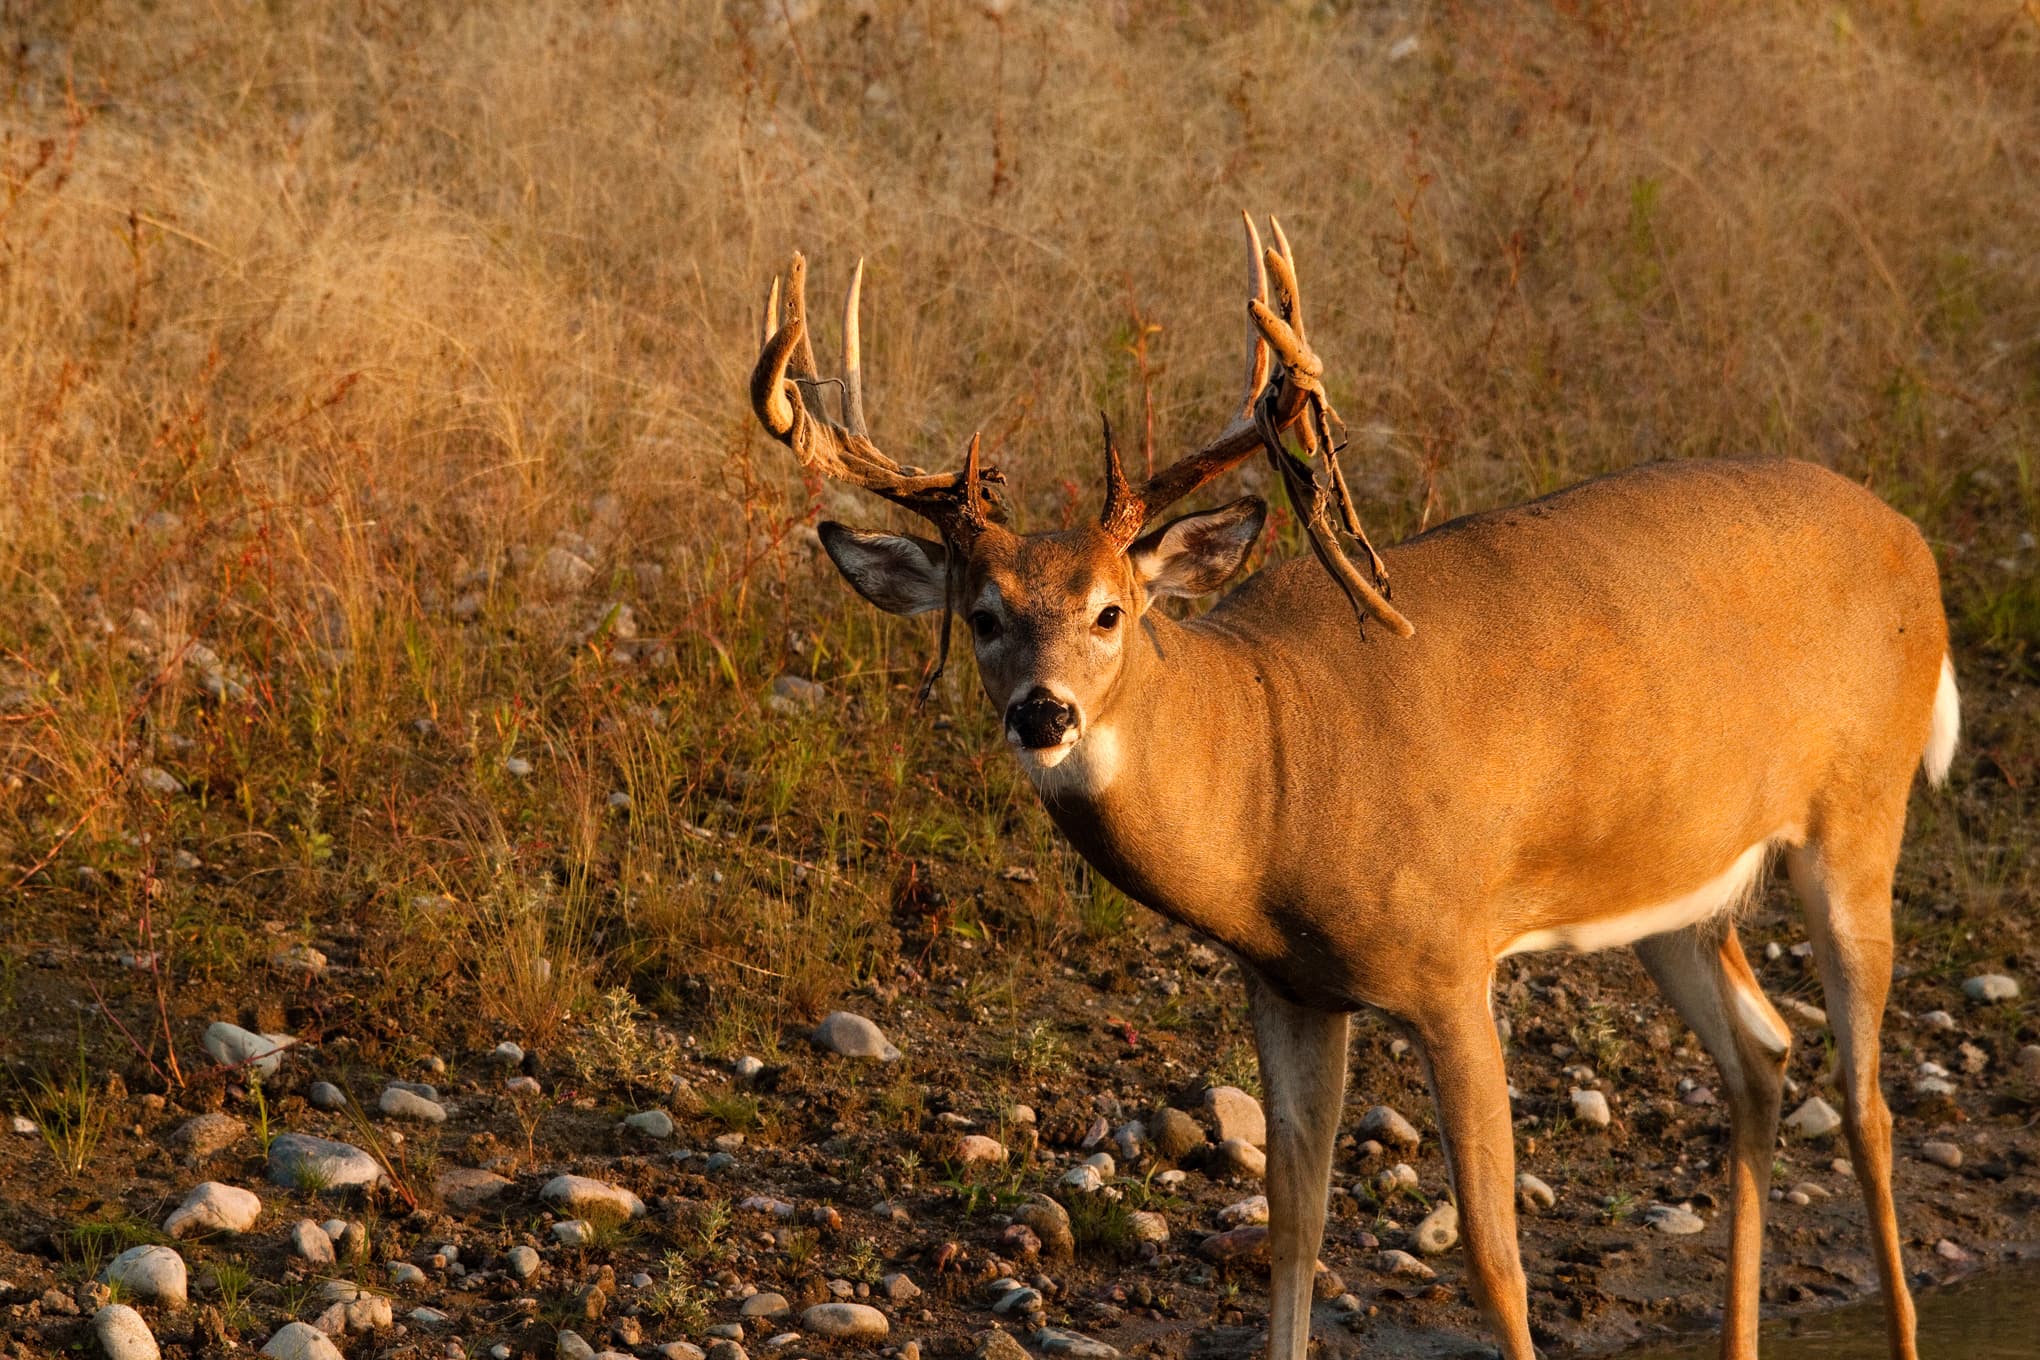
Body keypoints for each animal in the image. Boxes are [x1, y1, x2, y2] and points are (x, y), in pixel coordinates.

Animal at [745, 216, 1957, 1360]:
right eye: (984, 614)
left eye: (1110, 611)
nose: (1043, 714)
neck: (1273, 772)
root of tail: (1915, 541)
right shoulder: (1288, 985)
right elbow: (1294, 1230)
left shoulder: (1451, 960)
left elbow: (1495, 1255)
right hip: (1679, 889)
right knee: (1763, 1055)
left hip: (1860, 812)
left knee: (1866, 1099)